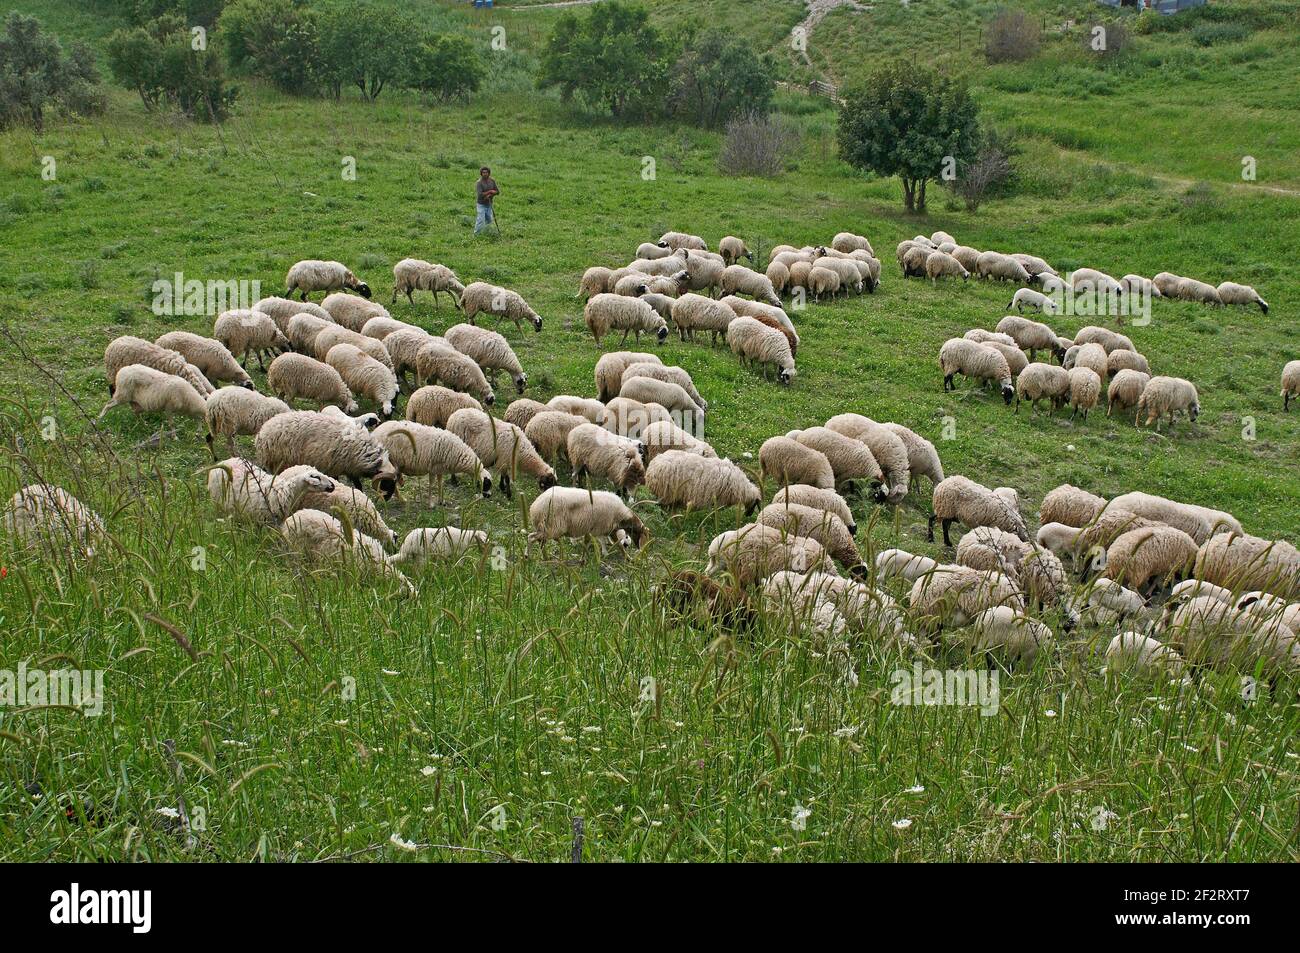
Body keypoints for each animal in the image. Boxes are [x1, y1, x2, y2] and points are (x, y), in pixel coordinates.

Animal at [255, 410, 399, 497]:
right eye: (387, 483)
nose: (387, 498)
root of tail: (262, 433)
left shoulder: (350, 468)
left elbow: (358, 484)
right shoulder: (335, 466)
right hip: (278, 461)